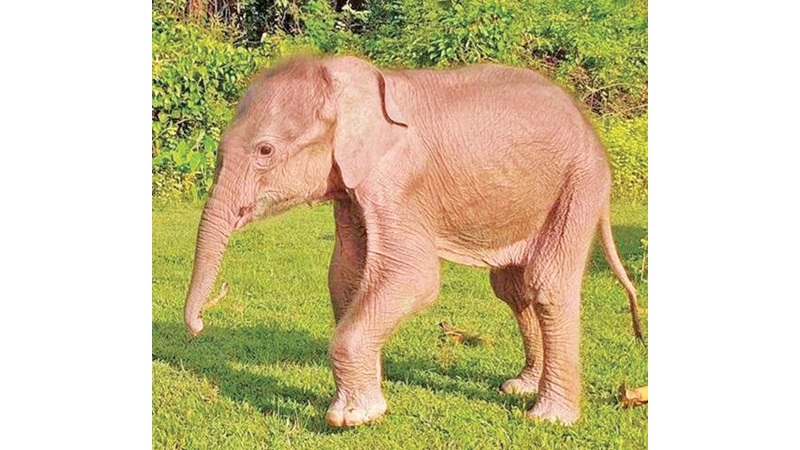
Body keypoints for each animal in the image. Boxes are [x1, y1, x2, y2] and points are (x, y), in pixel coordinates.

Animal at [183, 55, 643, 427]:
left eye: (265, 151)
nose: (200, 325)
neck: (350, 81)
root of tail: (591, 128)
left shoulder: (399, 180)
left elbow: (412, 277)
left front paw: (352, 418)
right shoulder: (353, 188)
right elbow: (346, 275)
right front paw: (367, 400)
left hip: (579, 182)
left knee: (547, 284)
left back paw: (550, 418)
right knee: (512, 287)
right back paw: (520, 387)